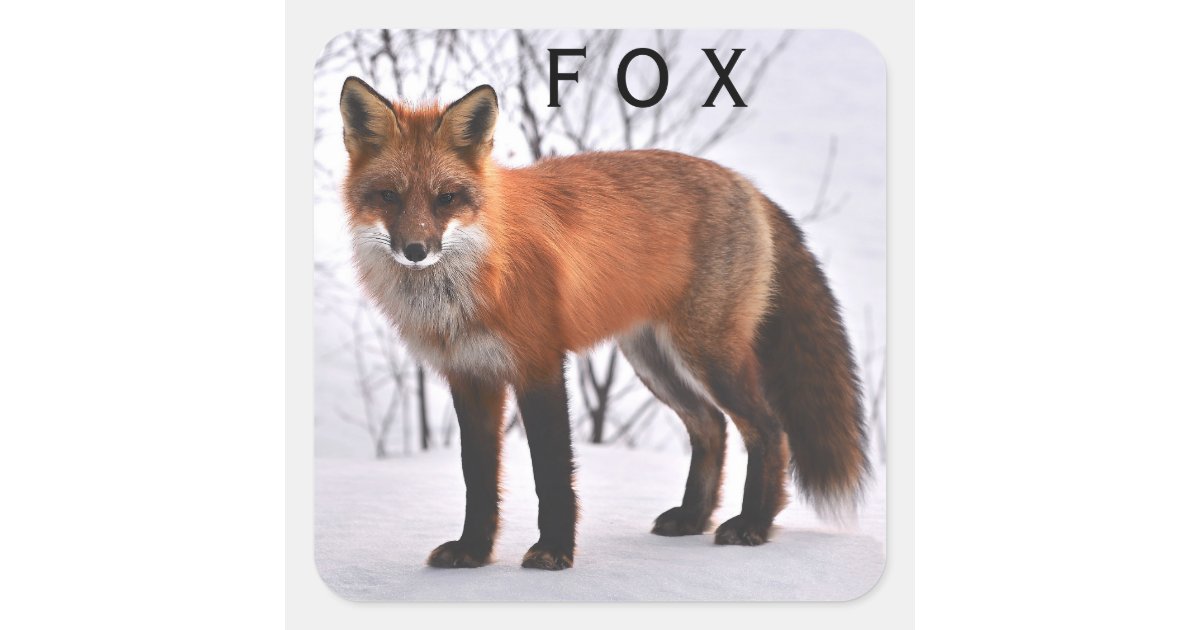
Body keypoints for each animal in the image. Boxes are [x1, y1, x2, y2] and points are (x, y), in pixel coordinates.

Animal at [337, 76, 869, 571]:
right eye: (388, 196)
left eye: (446, 198)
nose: (415, 250)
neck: (471, 281)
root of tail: (746, 185)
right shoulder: (470, 377)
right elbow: (478, 479)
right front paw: (473, 552)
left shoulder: (539, 365)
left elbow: (551, 473)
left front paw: (553, 552)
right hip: (653, 360)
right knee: (711, 426)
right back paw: (693, 518)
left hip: (708, 354)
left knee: (769, 430)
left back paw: (754, 524)